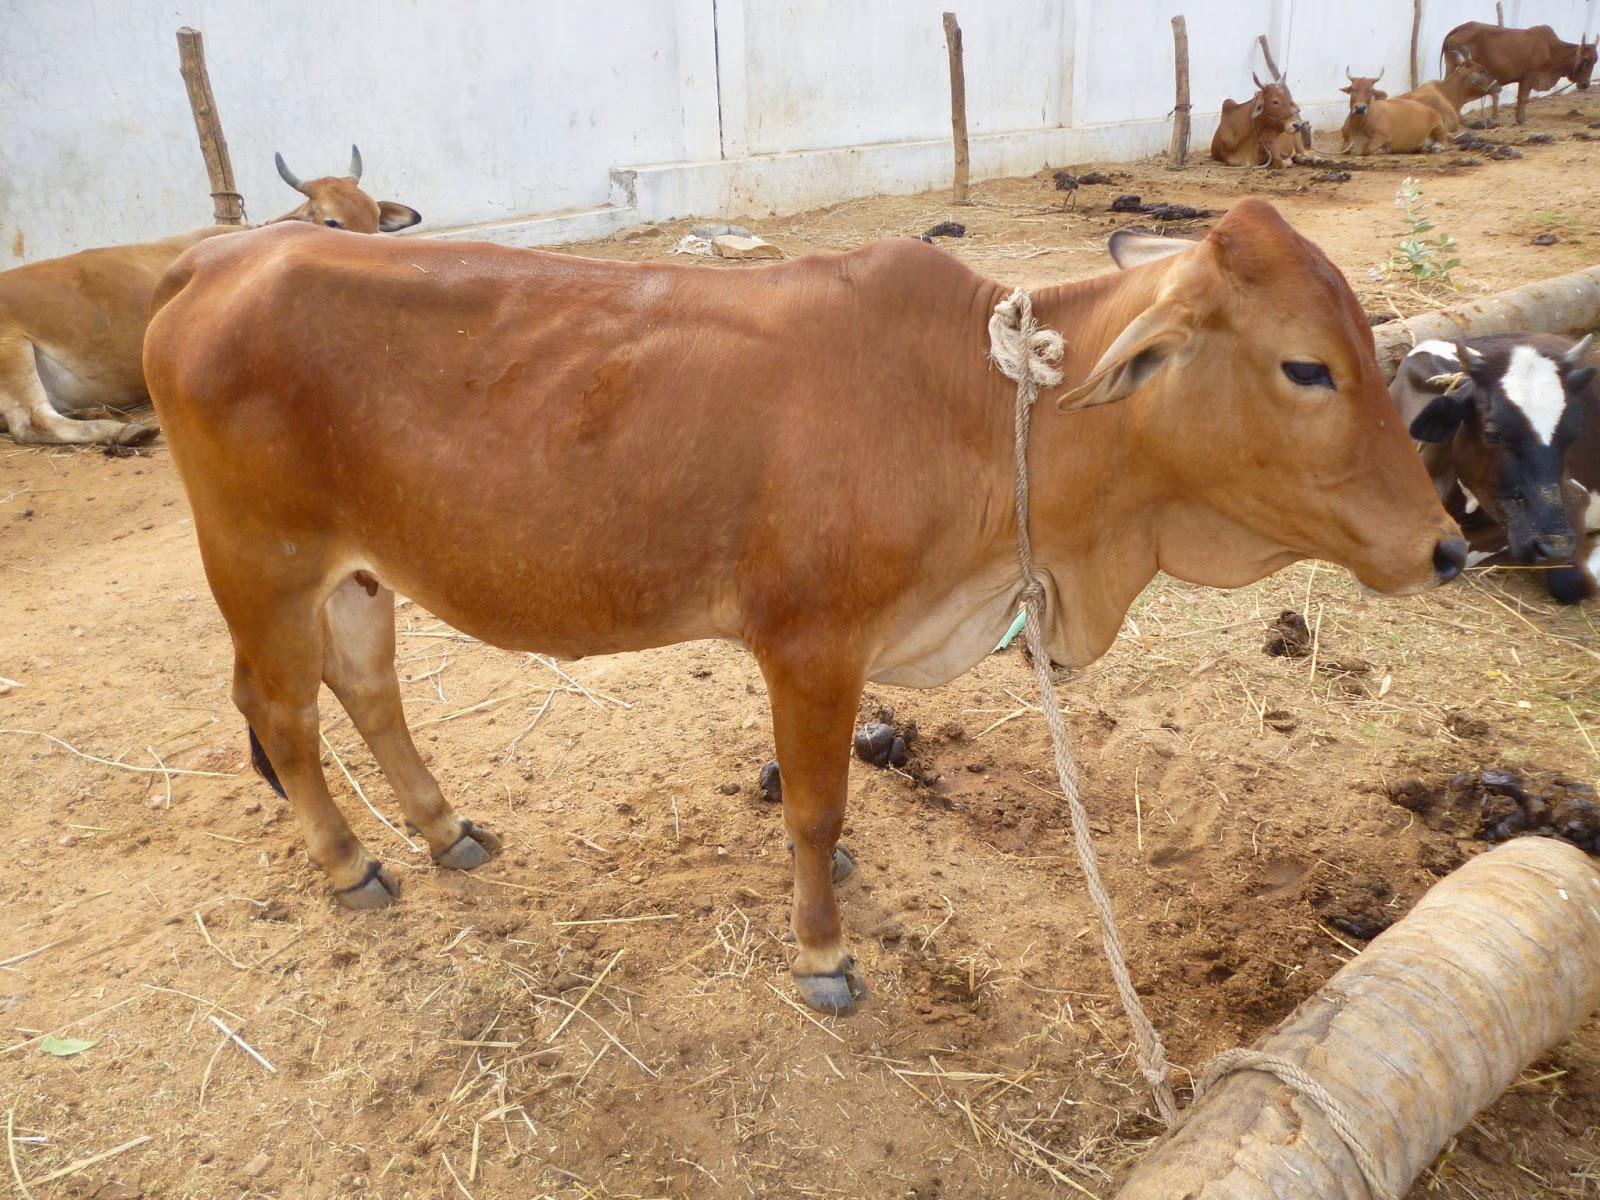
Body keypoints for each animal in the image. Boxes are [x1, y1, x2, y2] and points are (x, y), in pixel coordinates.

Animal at [142, 198, 1466, 1013]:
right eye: (1307, 366)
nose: (1446, 545)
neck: (985, 411)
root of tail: (219, 255)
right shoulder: (812, 643)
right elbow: (816, 806)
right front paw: (824, 954)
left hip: (360, 568)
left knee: (365, 684)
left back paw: (443, 828)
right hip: (261, 559)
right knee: (280, 708)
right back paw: (349, 863)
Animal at [1442, 22, 1597, 124]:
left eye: (1595, 61)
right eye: (1585, 60)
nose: (1585, 84)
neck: (1552, 49)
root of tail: (1458, 29)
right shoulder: (1530, 75)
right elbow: (1523, 98)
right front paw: (1522, 120)